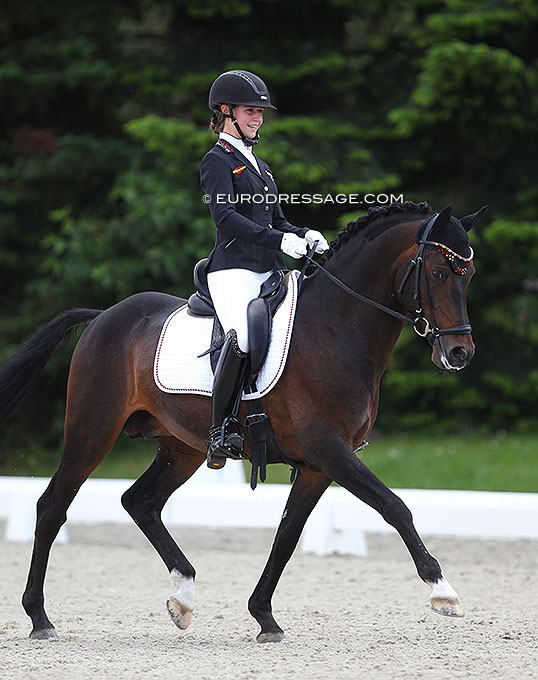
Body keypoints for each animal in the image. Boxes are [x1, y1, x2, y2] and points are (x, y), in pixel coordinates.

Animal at [0, 200, 487, 643]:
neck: (336, 328)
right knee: (53, 505)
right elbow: (395, 506)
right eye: (439, 273)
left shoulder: (318, 465)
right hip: (93, 430)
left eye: (468, 276)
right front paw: (443, 591)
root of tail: (103, 316)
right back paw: (39, 618)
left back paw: (183, 597)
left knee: (140, 502)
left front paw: (264, 617)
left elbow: (287, 535)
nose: (459, 353)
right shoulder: (330, 449)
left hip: (182, 448)